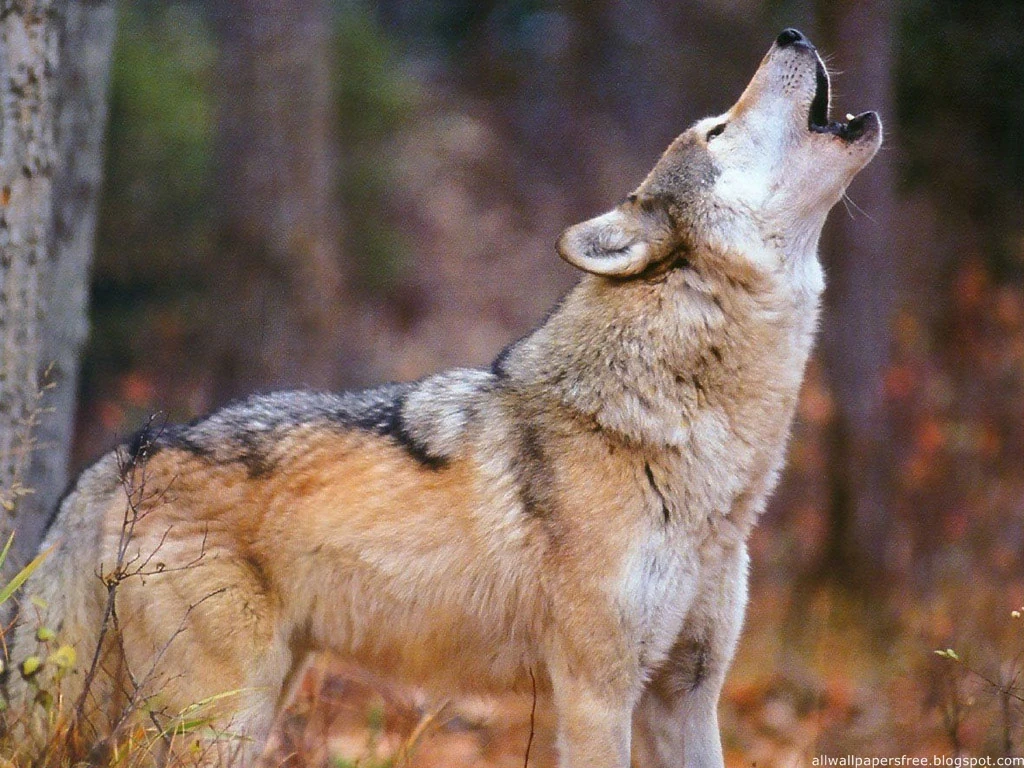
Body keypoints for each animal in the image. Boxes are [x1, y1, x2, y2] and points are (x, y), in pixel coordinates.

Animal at [7, 28, 880, 768]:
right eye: (716, 131)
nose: (791, 33)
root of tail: (122, 456)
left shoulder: (688, 695)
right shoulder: (596, 696)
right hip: (218, 722)